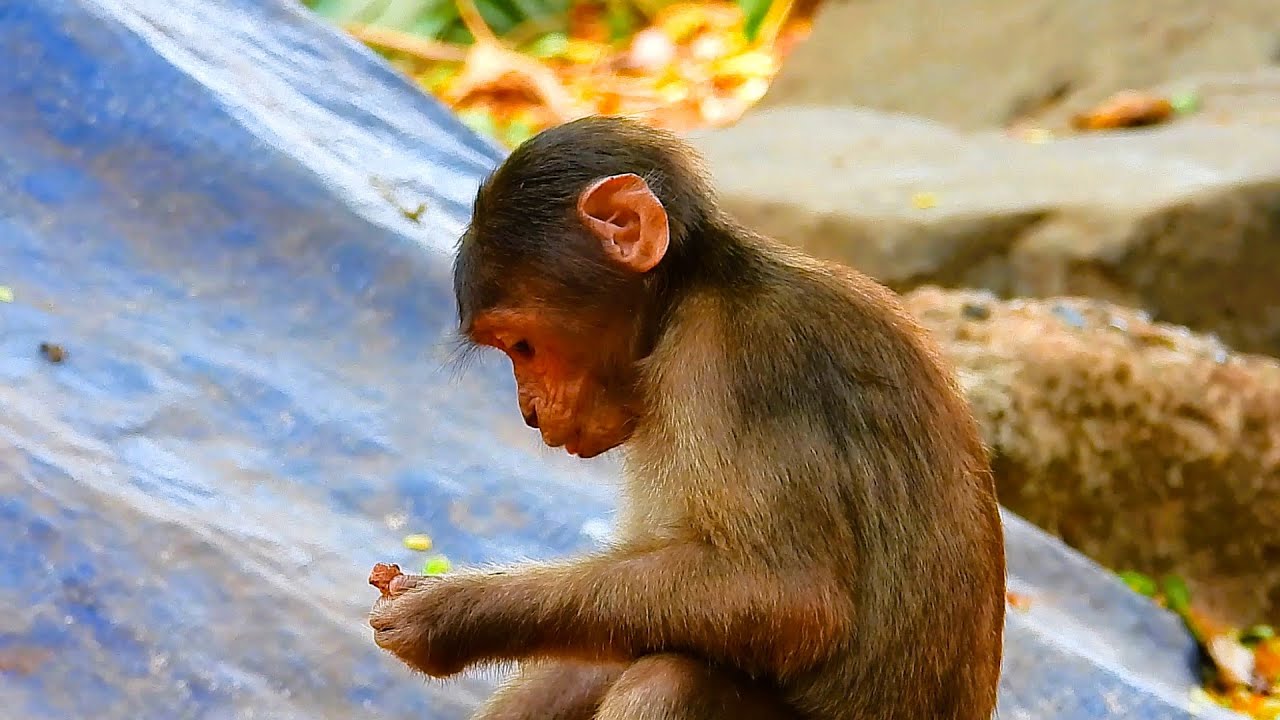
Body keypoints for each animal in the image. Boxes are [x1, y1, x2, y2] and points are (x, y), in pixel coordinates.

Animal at [368, 115, 1006, 720]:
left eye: (522, 346)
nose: (527, 411)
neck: (683, 299)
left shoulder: (732, 363)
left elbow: (791, 596)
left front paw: (449, 612)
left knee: (672, 678)